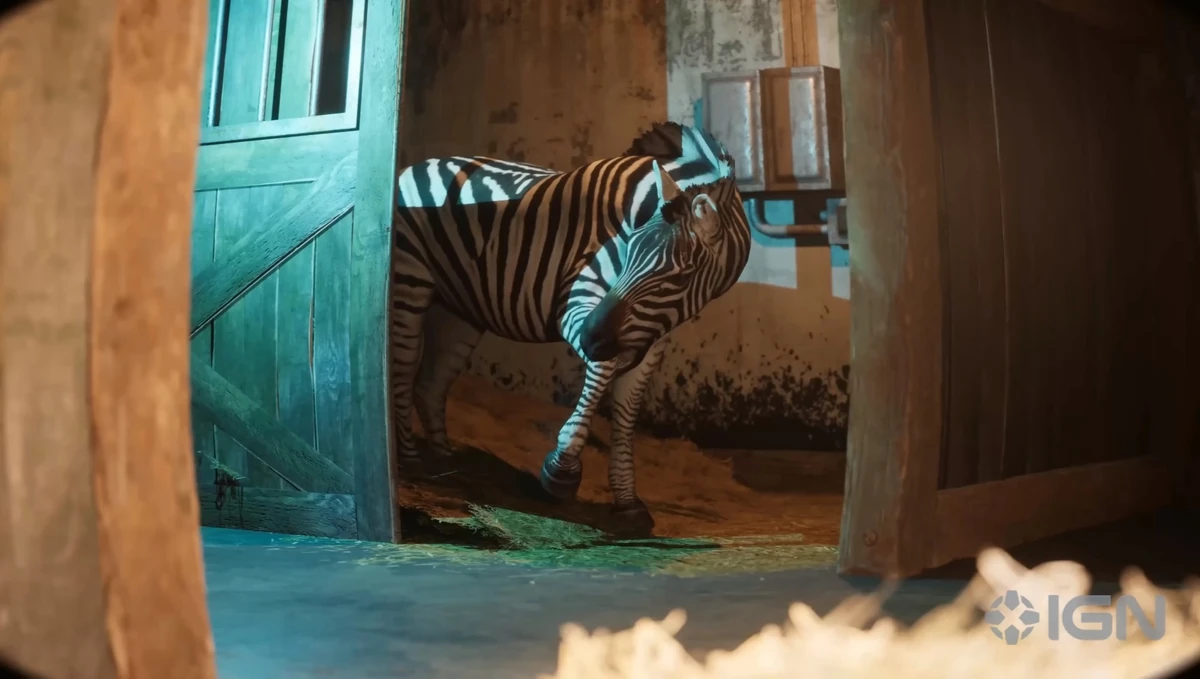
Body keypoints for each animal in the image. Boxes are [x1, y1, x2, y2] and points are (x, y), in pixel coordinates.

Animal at [391, 122, 752, 535]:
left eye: (681, 276)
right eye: (626, 250)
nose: (591, 339)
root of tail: (419, 164)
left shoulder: (651, 337)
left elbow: (626, 410)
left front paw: (627, 501)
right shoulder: (580, 301)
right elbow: (602, 375)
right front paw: (560, 470)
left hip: (459, 310)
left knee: (430, 384)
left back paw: (445, 460)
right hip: (410, 281)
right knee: (402, 371)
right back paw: (410, 460)